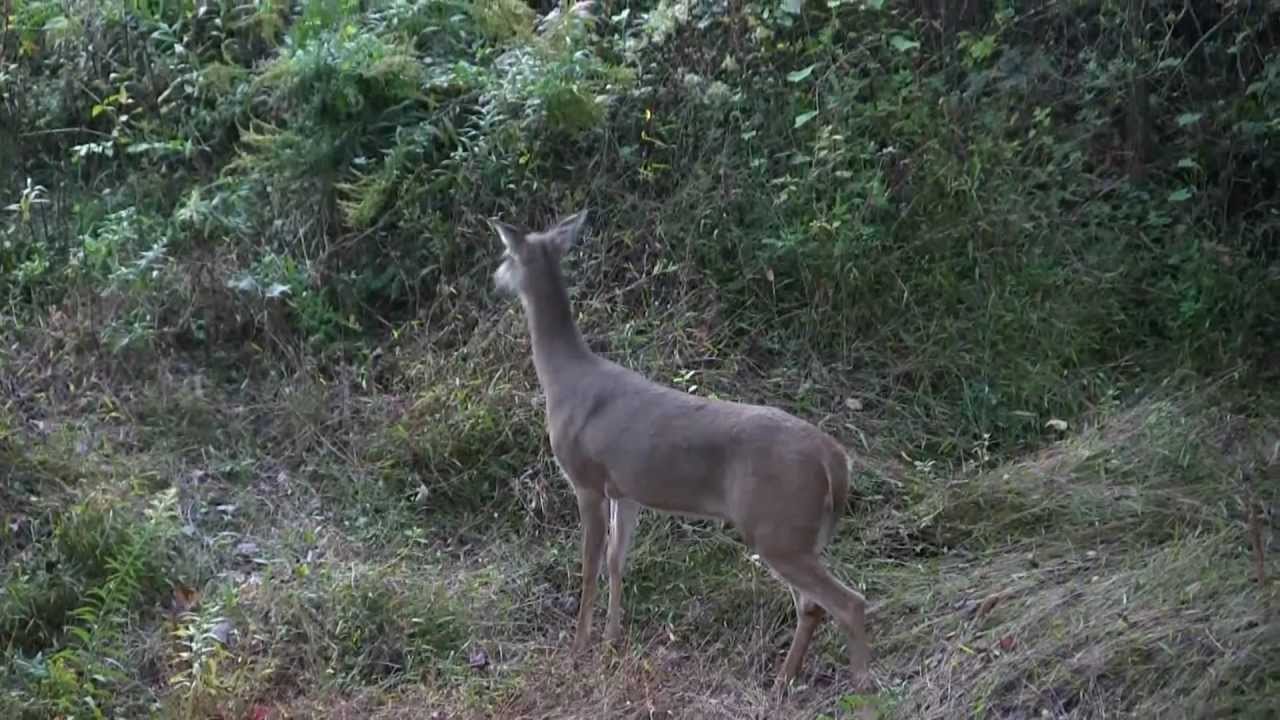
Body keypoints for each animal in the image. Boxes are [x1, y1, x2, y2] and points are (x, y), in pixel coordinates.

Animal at [488, 209, 874, 694]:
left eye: (505, 255)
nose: (493, 278)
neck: (563, 378)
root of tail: (835, 461)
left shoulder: (586, 477)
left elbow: (590, 563)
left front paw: (579, 648)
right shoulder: (625, 489)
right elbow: (616, 560)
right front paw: (612, 639)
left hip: (777, 526)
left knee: (848, 602)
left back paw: (860, 689)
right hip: (793, 532)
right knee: (812, 604)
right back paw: (783, 681)